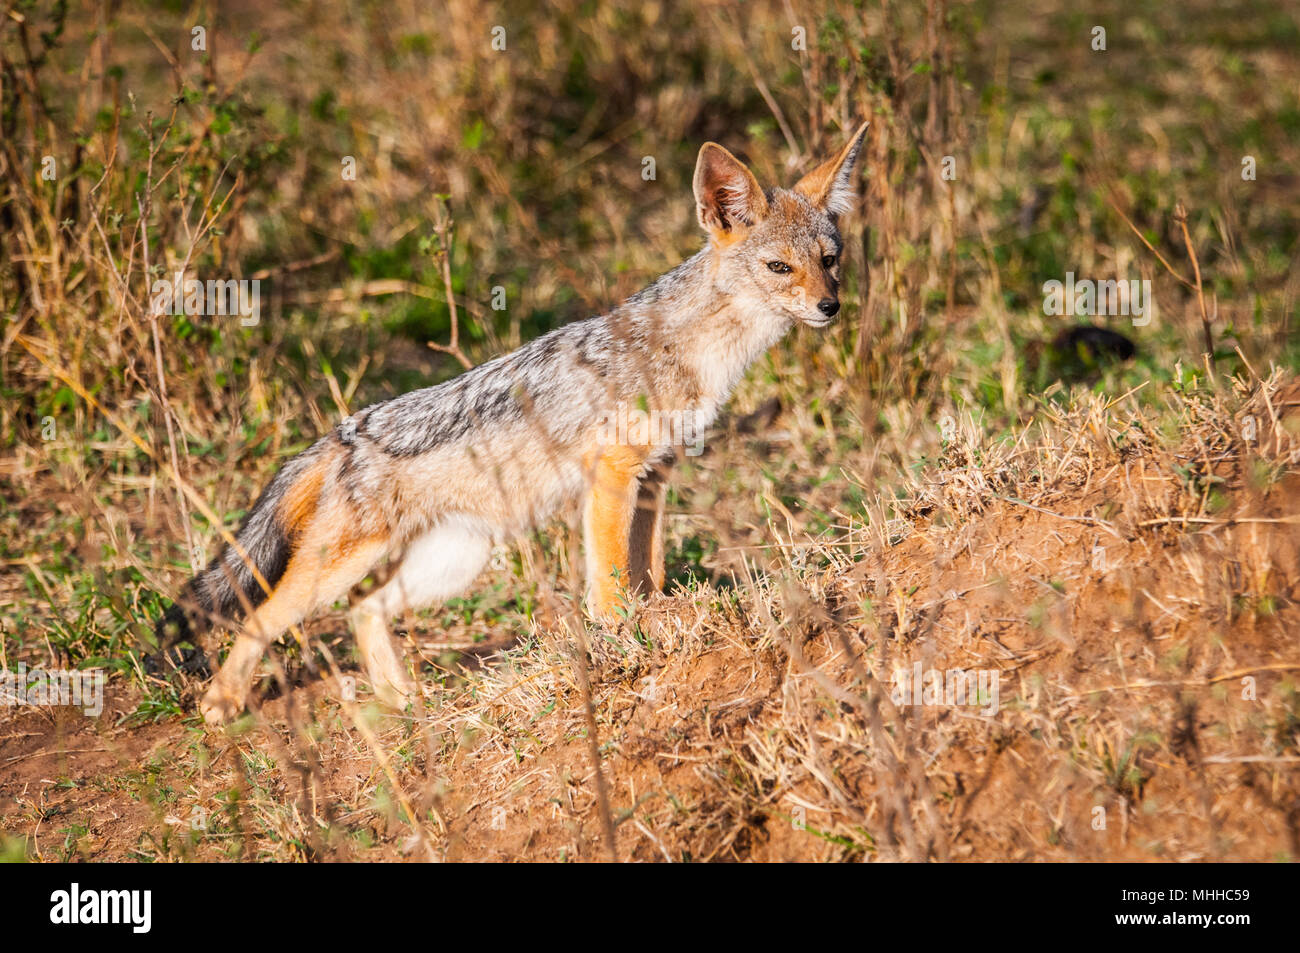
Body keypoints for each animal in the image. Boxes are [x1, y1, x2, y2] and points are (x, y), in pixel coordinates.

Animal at [153, 121, 870, 725]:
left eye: (830, 259)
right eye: (780, 267)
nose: (830, 307)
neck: (694, 350)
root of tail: (342, 432)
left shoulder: (656, 477)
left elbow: (649, 574)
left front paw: (659, 626)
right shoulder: (612, 478)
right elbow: (611, 588)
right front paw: (626, 649)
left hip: (454, 561)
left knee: (364, 611)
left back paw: (402, 703)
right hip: (340, 569)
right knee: (262, 618)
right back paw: (221, 704)